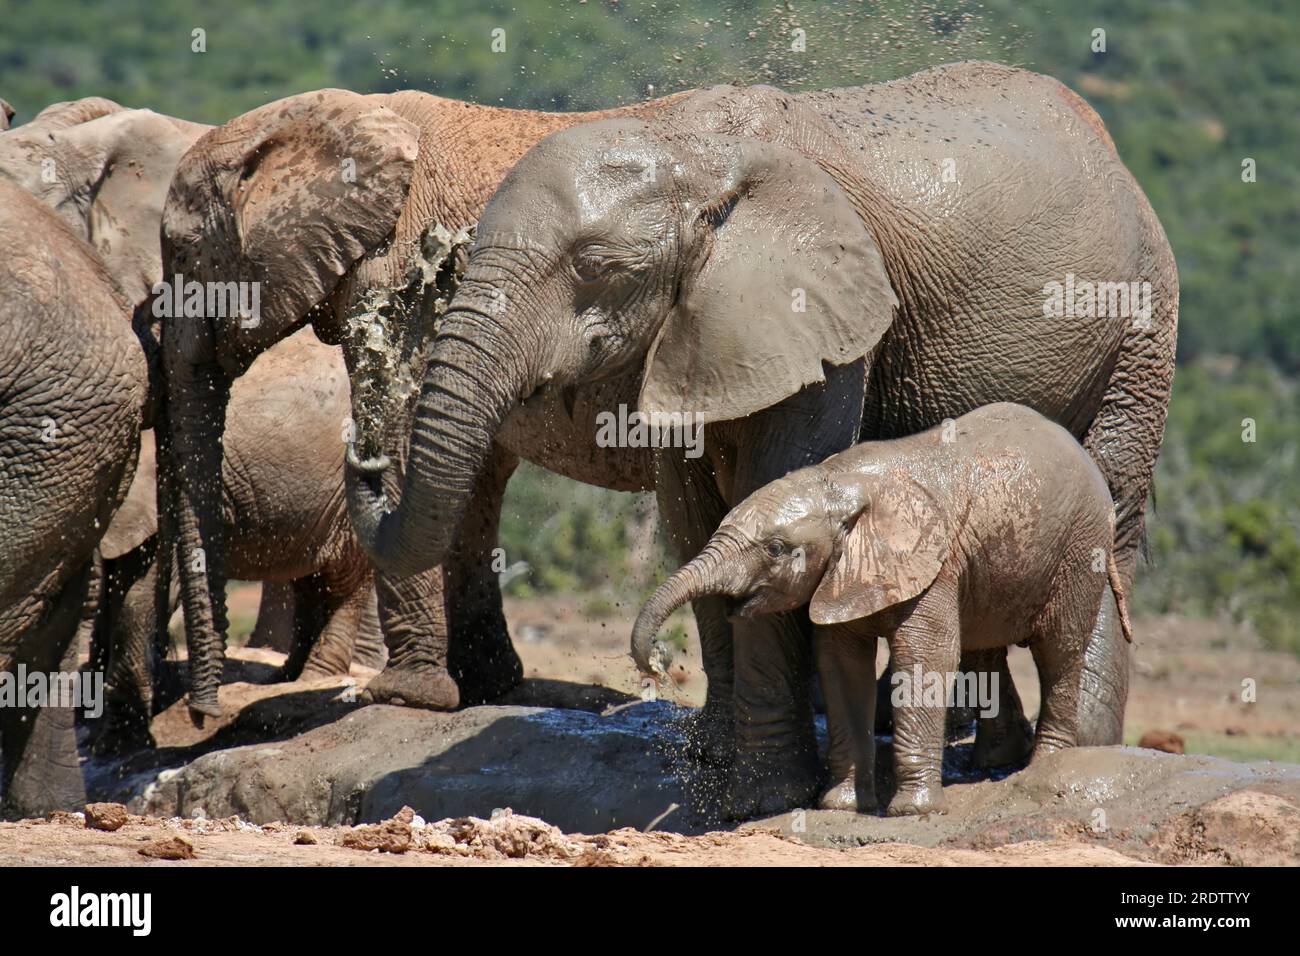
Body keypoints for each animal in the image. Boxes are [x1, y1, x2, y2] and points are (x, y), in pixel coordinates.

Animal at [88, 329, 389, 752]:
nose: (202, 718)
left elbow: (141, 594)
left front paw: (117, 743)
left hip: (347, 492)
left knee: (342, 580)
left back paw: (312, 676)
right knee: (310, 578)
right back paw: (284, 678)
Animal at [157, 87, 690, 719]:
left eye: (183, 256)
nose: (207, 713)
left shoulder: (403, 283)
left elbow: (407, 438)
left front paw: (402, 694)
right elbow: (470, 474)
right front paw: (487, 689)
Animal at [631, 403, 1135, 815]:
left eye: (775, 549)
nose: (655, 665)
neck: (841, 484)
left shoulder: (933, 563)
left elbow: (924, 658)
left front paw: (911, 811)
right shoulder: (844, 575)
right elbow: (841, 663)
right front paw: (841, 806)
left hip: (1079, 548)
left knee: (1058, 650)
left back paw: (1044, 765)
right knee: (984, 647)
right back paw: (995, 760)